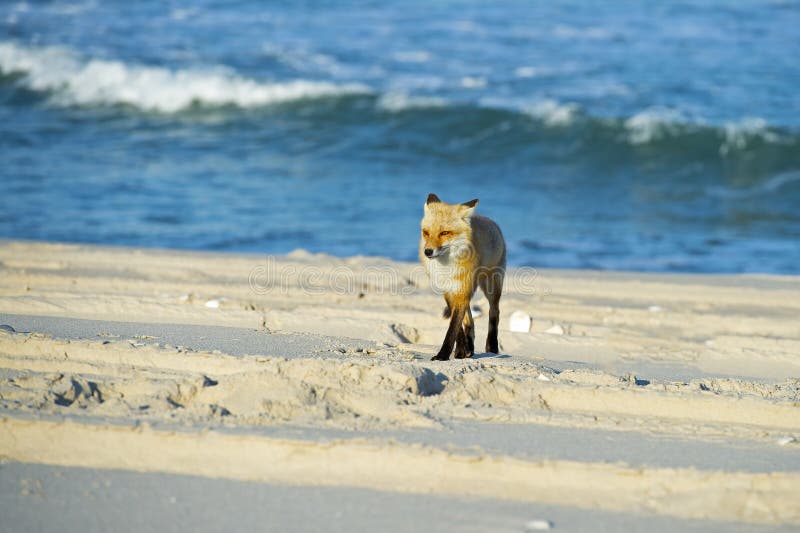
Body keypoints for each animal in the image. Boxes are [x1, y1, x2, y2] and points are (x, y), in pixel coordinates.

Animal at [420, 193, 506, 360]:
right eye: (426, 232)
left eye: (444, 233)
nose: (428, 252)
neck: (447, 267)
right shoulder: (448, 291)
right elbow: (459, 326)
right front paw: (461, 350)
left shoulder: (461, 291)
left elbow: (452, 328)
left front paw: (442, 355)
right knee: (470, 320)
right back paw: (469, 347)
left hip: (491, 287)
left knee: (494, 313)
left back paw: (492, 346)